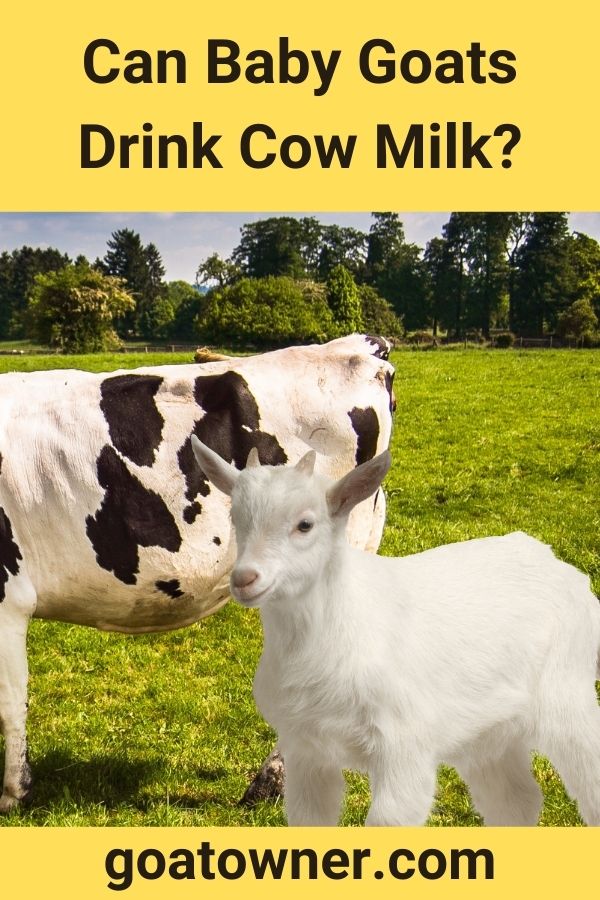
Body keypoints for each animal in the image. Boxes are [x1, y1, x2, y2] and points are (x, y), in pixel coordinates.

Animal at [191, 436, 600, 826]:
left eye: (305, 524)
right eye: (235, 517)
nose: (244, 579)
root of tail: (558, 564)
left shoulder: (404, 745)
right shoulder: (307, 750)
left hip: (566, 697)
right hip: (489, 732)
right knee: (516, 801)